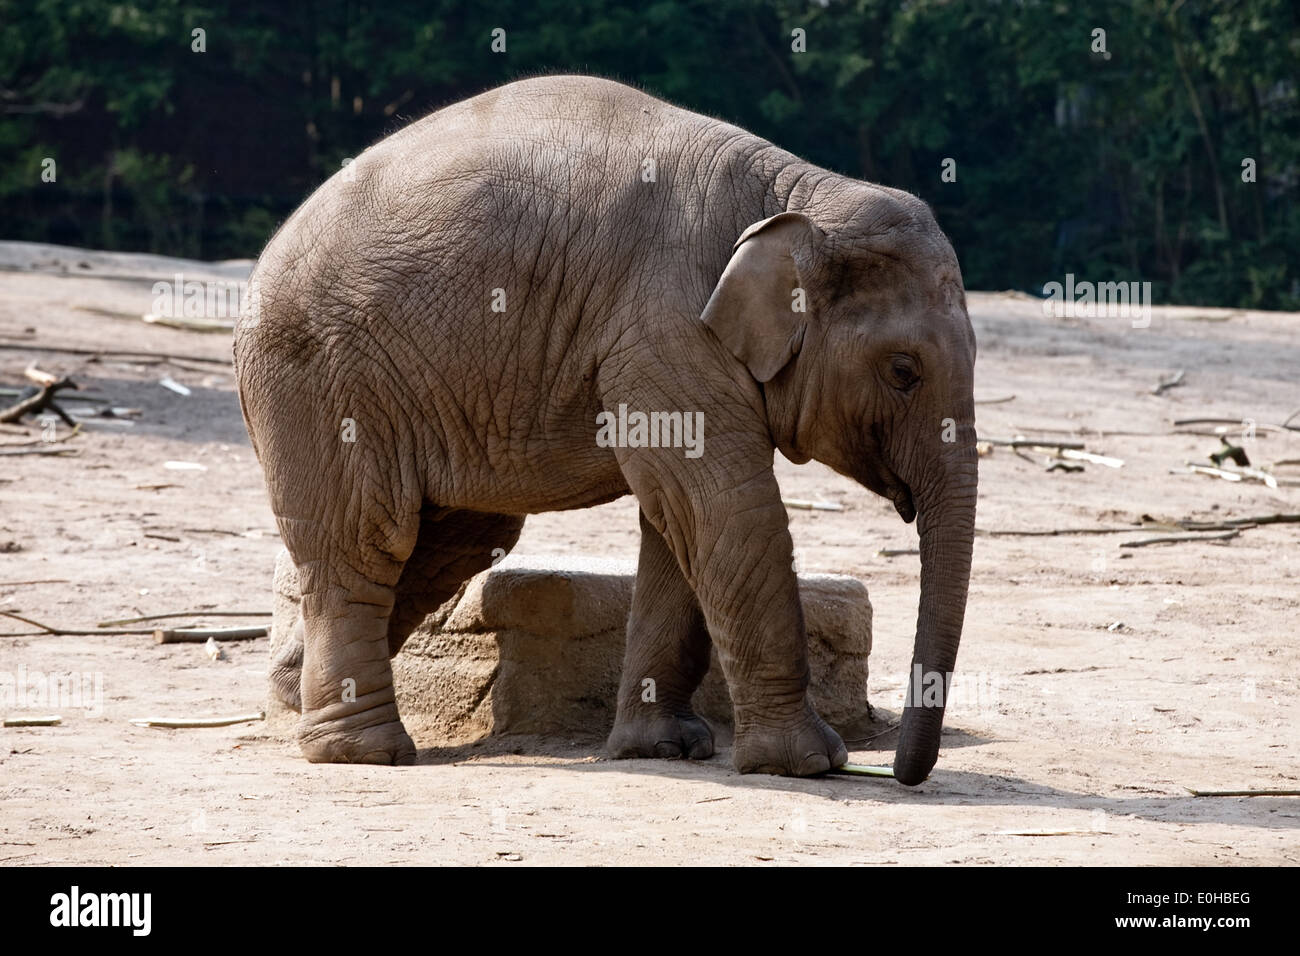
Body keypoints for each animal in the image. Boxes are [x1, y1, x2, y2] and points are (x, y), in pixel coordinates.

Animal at [234, 75, 976, 784]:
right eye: (904, 371)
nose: (901, 773)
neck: (800, 192)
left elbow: (676, 523)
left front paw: (664, 749)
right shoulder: (664, 327)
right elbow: (724, 510)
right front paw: (809, 763)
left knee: (451, 540)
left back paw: (290, 697)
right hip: (323, 381)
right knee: (366, 540)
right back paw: (363, 752)